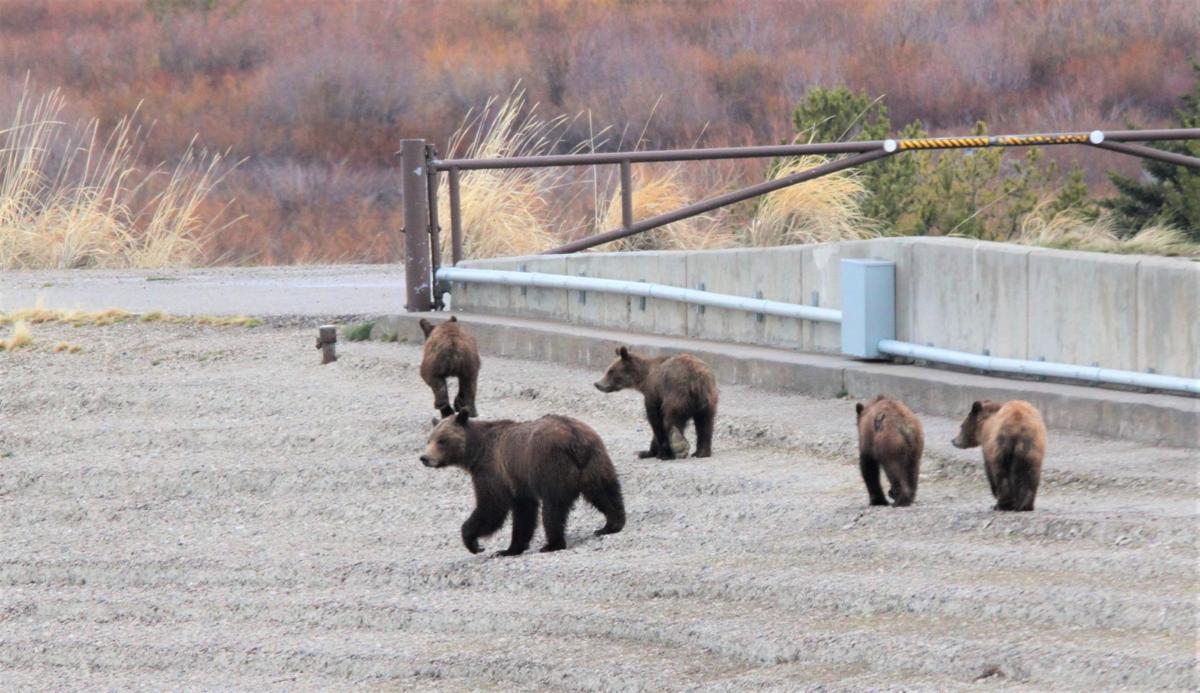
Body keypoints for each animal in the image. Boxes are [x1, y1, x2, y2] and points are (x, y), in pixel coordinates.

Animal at [420, 410, 626, 555]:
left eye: (441, 441)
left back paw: (552, 544)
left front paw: (474, 542)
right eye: (429, 439)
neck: (475, 451)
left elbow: (491, 507)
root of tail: (575, 440)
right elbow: (524, 512)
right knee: (605, 492)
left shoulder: (492, 470)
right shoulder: (518, 481)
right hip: (595, 462)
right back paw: (611, 525)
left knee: (553, 508)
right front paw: (510, 549)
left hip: (552, 465)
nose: (424, 458)